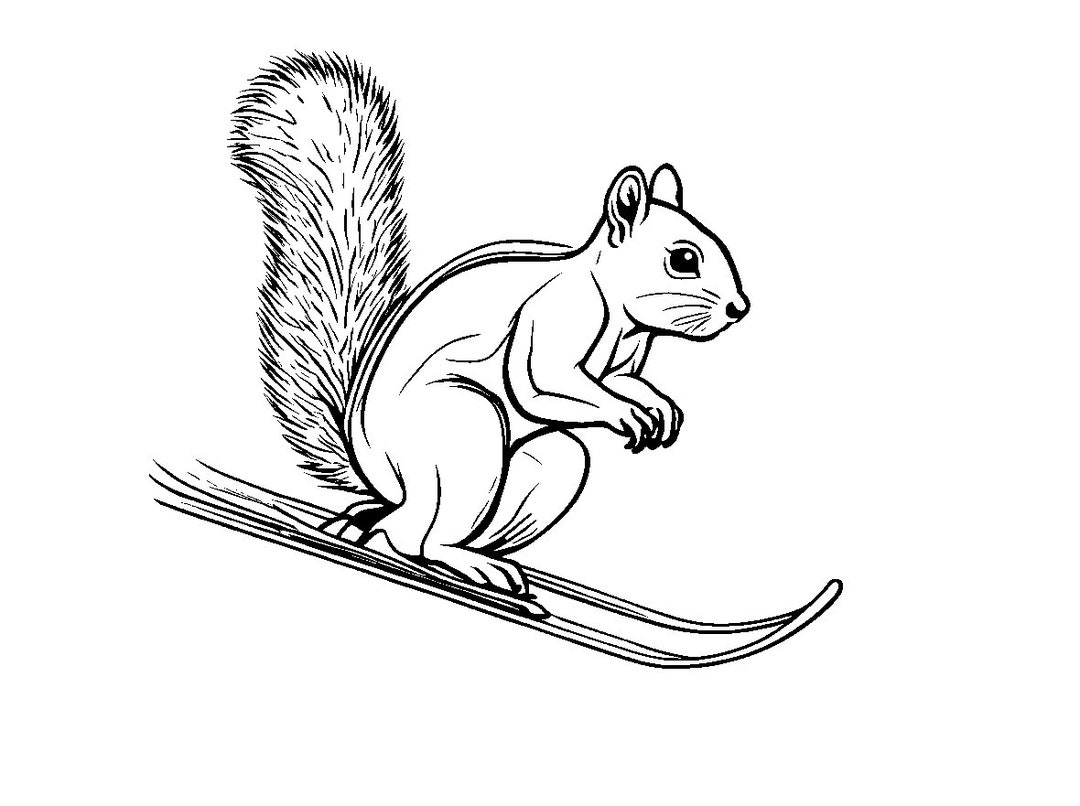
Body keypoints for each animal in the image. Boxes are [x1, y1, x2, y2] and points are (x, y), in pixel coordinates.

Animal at [230, 53, 749, 596]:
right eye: (683, 259)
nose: (740, 307)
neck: (612, 303)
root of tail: (385, 474)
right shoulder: (554, 313)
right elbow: (541, 381)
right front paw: (625, 412)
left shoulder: (626, 352)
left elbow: (623, 380)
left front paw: (657, 405)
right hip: (464, 430)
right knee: (411, 540)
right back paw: (465, 562)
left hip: (545, 465)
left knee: (405, 525)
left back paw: (414, 538)